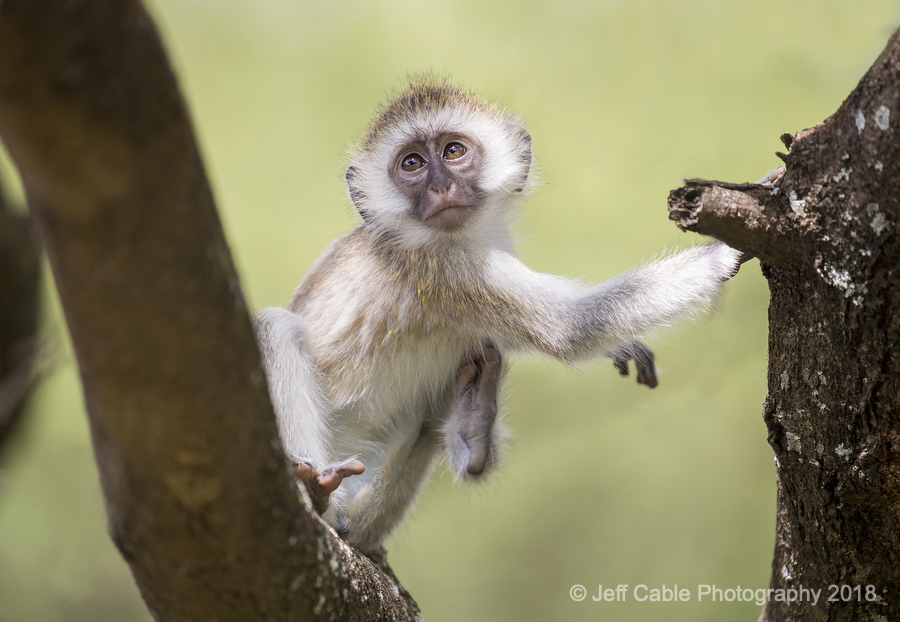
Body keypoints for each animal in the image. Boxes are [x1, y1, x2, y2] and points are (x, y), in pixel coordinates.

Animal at [253, 77, 741, 553]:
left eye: (453, 152)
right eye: (412, 164)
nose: (440, 187)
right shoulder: (449, 269)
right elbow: (572, 328)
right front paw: (727, 250)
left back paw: (472, 433)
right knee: (272, 328)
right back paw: (319, 497)